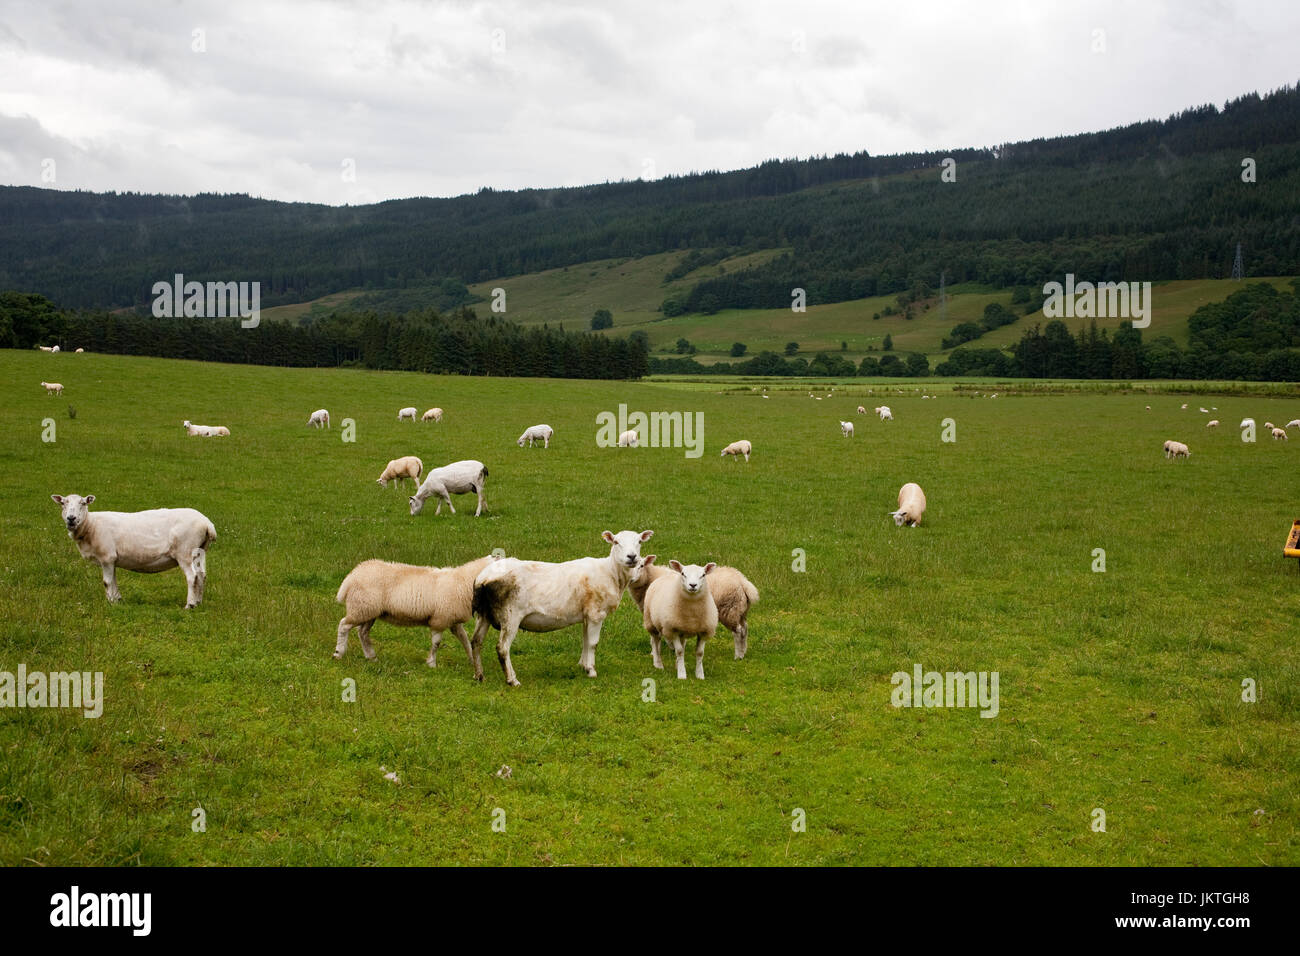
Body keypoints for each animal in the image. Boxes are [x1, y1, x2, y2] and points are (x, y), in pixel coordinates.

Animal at [50, 493, 216, 607]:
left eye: (83, 503)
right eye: (63, 504)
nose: (71, 518)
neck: (91, 525)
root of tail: (207, 523)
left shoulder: (106, 556)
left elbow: (106, 582)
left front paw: (110, 603)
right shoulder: (112, 559)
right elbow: (113, 580)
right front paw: (117, 600)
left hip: (185, 552)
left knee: (192, 577)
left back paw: (190, 605)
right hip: (200, 551)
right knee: (202, 575)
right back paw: (198, 602)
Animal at [333, 555, 496, 666]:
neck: (463, 582)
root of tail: (352, 576)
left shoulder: (452, 620)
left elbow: (464, 639)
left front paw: (471, 659)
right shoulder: (439, 619)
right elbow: (436, 642)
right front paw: (431, 663)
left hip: (369, 611)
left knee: (363, 633)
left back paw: (371, 657)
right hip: (361, 608)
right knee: (344, 625)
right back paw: (338, 653)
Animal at [470, 529, 653, 685]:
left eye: (639, 541)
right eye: (616, 542)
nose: (632, 557)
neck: (611, 572)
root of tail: (483, 578)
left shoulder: (586, 615)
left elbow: (585, 641)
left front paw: (583, 666)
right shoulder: (596, 613)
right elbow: (593, 643)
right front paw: (592, 671)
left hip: (484, 613)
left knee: (476, 641)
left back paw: (479, 675)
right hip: (511, 615)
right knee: (502, 648)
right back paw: (512, 680)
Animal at [630, 555, 759, 659]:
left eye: (641, 565)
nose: (631, 579)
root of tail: (742, 581)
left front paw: (657, 651)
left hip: (729, 610)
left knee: (738, 631)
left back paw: (738, 656)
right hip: (741, 610)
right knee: (745, 628)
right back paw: (743, 652)